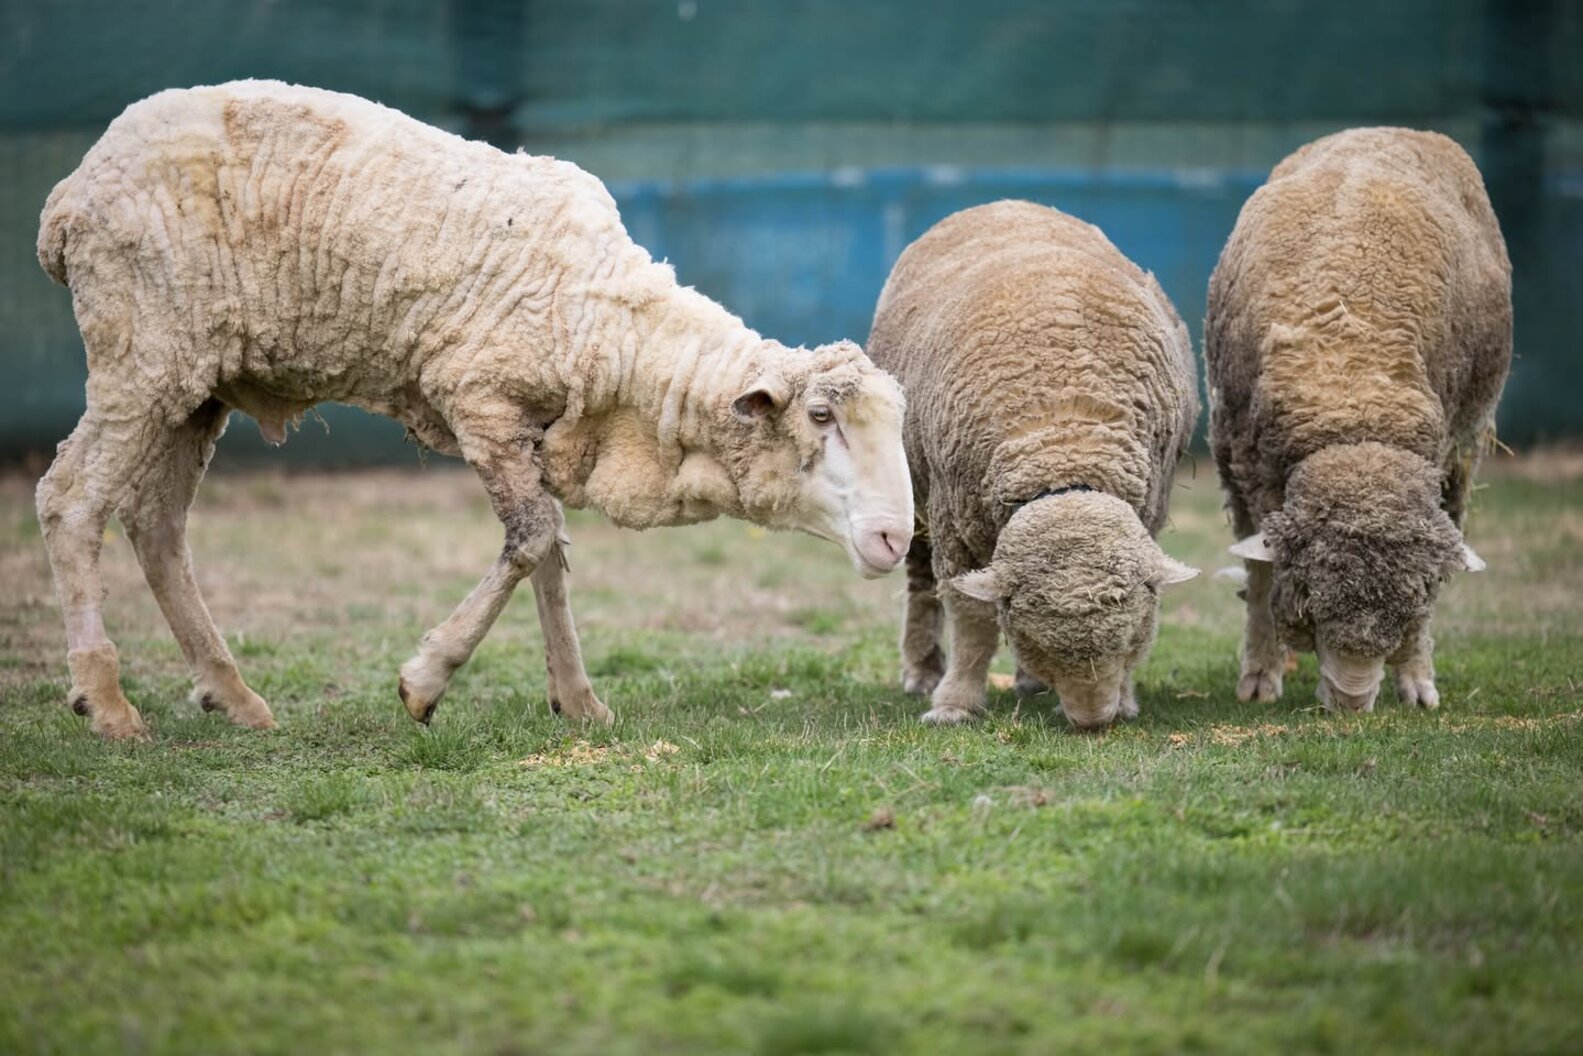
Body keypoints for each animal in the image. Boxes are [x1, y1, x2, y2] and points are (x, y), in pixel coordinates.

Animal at [34, 80, 914, 741]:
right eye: (821, 420)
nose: (894, 540)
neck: (613, 327)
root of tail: (71, 194)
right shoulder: (481, 403)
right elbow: (530, 543)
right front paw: (424, 682)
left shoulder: (538, 433)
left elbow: (551, 552)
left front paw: (577, 700)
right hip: (141, 350)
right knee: (72, 499)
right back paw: (106, 704)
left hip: (198, 379)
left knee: (157, 523)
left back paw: (233, 694)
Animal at [867, 200, 1201, 729]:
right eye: (1041, 643)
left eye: (1132, 641)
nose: (1093, 721)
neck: (1066, 445)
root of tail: (1005, 204)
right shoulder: (954, 524)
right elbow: (973, 623)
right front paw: (954, 702)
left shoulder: (1150, 505)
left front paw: (1125, 698)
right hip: (915, 485)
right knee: (920, 581)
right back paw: (922, 671)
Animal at [1205, 127, 1511, 713]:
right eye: (1311, 602)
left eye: (1410, 604)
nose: (1350, 705)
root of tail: (1385, 130)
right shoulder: (1245, 462)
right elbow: (1260, 575)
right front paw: (1260, 674)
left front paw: (1416, 677)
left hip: (1465, 447)